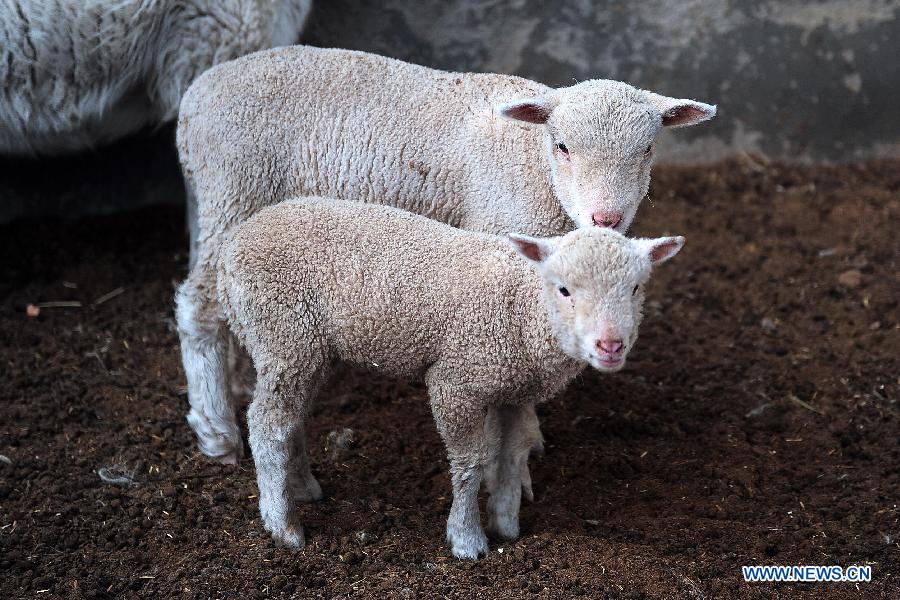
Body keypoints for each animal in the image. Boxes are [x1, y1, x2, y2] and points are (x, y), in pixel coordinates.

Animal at [176, 44, 715, 471]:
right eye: (562, 146)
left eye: (648, 150)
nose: (607, 217)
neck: (531, 159)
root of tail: (194, 95)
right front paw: (520, 439)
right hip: (236, 187)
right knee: (199, 306)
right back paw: (216, 431)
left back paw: (240, 382)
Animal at [216, 197, 684, 559]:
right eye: (564, 289)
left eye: (636, 289)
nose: (611, 346)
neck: (523, 307)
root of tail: (233, 244)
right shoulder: (457, 381)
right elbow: (471, 463)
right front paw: (467, 538)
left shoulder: (514, 390)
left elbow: (510, 456)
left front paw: (507, 523)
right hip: (282, 334)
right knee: (267, 425)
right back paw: (283, 524)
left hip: (310, 350)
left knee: (292, 417)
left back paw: (302, 487)